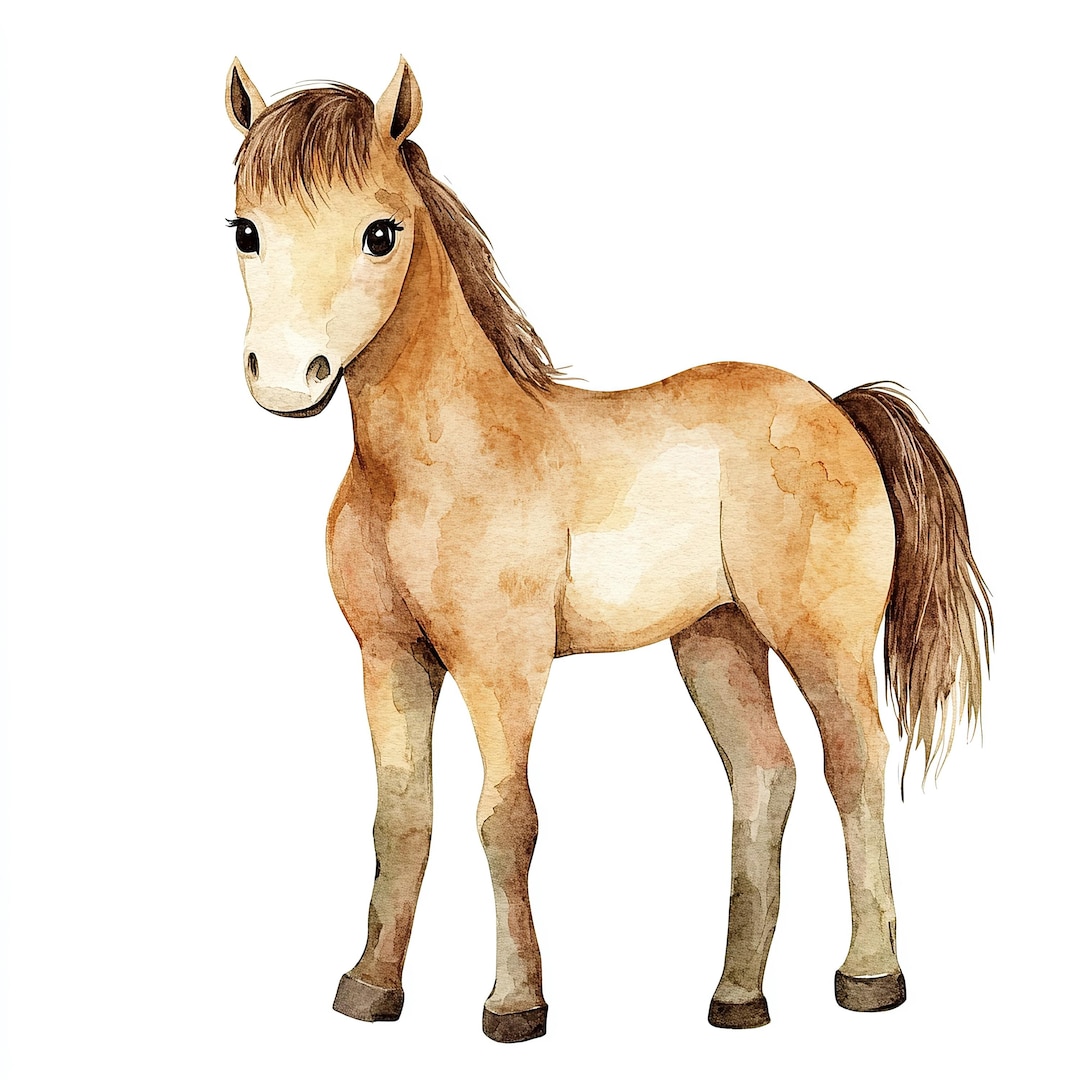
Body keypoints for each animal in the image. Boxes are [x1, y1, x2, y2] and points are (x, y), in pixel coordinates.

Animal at [224, 57, 991, 1042]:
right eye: (246, 229)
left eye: (380, 233)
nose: (287, 378)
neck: (438, 461)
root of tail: (836, 406)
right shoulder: (390, 656)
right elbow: (401, 819)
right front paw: (369, 989)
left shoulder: (503, 665)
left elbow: (504, 819)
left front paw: (515, 1004)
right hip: (715, 640)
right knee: (765, 775)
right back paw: (737, 997)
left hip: (819, 640)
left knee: (853, 762)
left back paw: (869, 975)